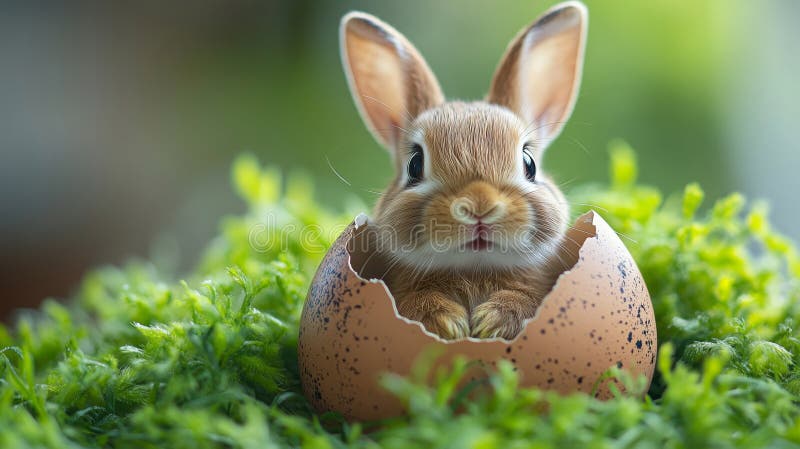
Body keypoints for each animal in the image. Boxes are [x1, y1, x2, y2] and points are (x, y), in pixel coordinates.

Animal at [340, 2, 587, 340]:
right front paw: (447, 323)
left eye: (529, 164)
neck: (475, 268)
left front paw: (492, 321)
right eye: (414, 164)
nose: (479, 207)